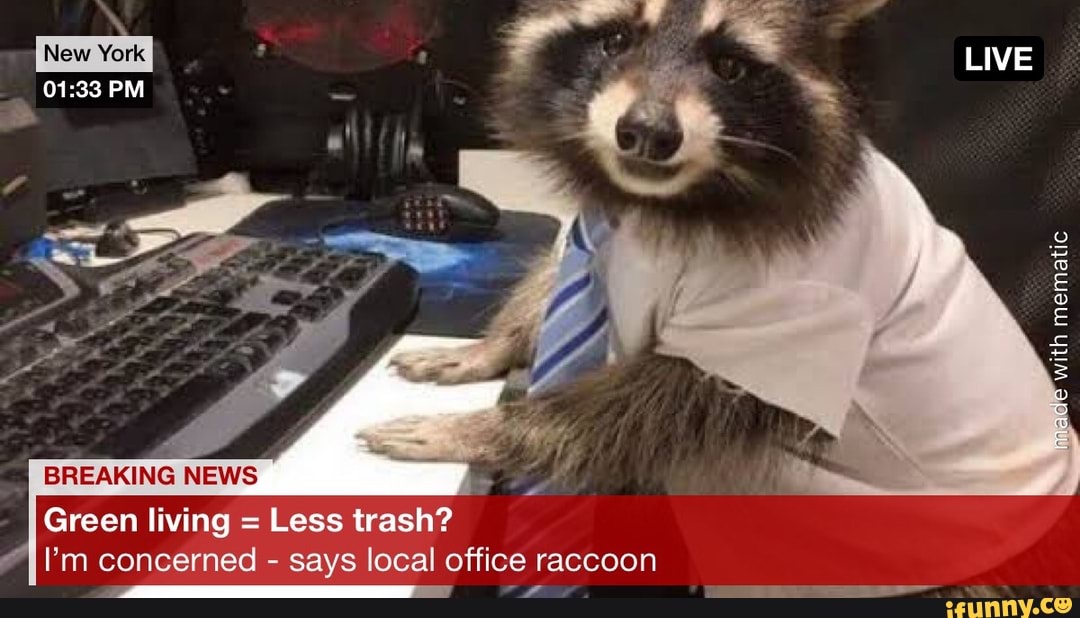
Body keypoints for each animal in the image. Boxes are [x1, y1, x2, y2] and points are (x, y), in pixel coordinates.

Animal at [359, 0, 1080, 598]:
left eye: (730, 65)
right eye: (616, 38)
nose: (646, 132)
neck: (660, 198)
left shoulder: (801, 302)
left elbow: (638, 406)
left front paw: (486, 427)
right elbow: (552, 276)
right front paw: (493, 346)